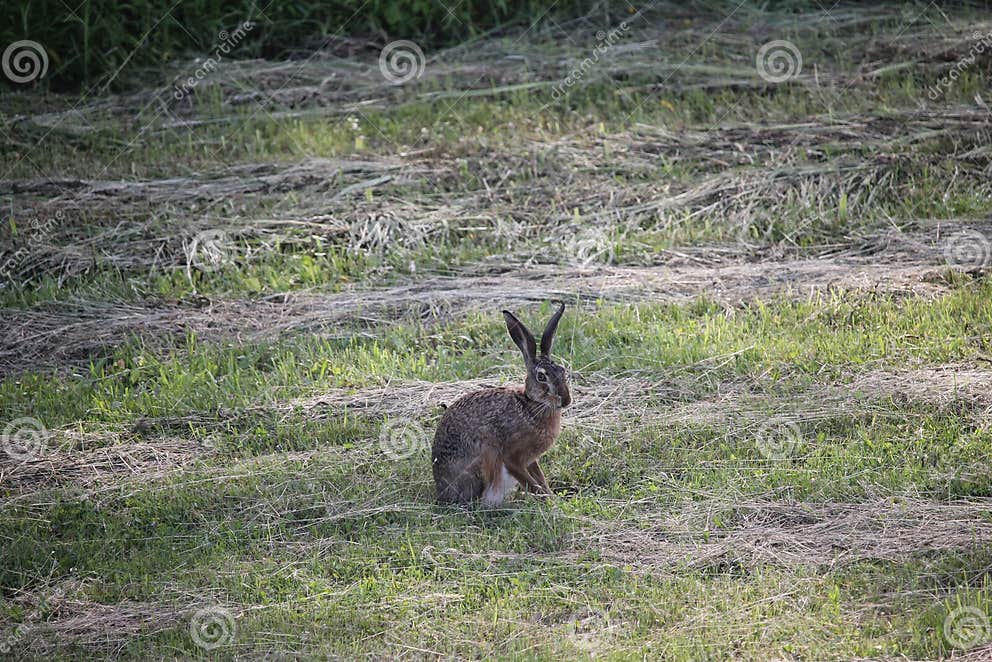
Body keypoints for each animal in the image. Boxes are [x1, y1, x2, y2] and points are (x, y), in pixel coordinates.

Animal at [432, 302, 571, 506]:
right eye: (541, 377)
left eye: (562, 371)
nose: (566, 400)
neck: (531, 405)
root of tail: (441, 492)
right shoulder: (511, 457)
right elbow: (530, 482)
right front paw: (548, 502)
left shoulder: (530, 460)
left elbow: (539, 477)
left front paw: (551, 497)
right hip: (483, 460)